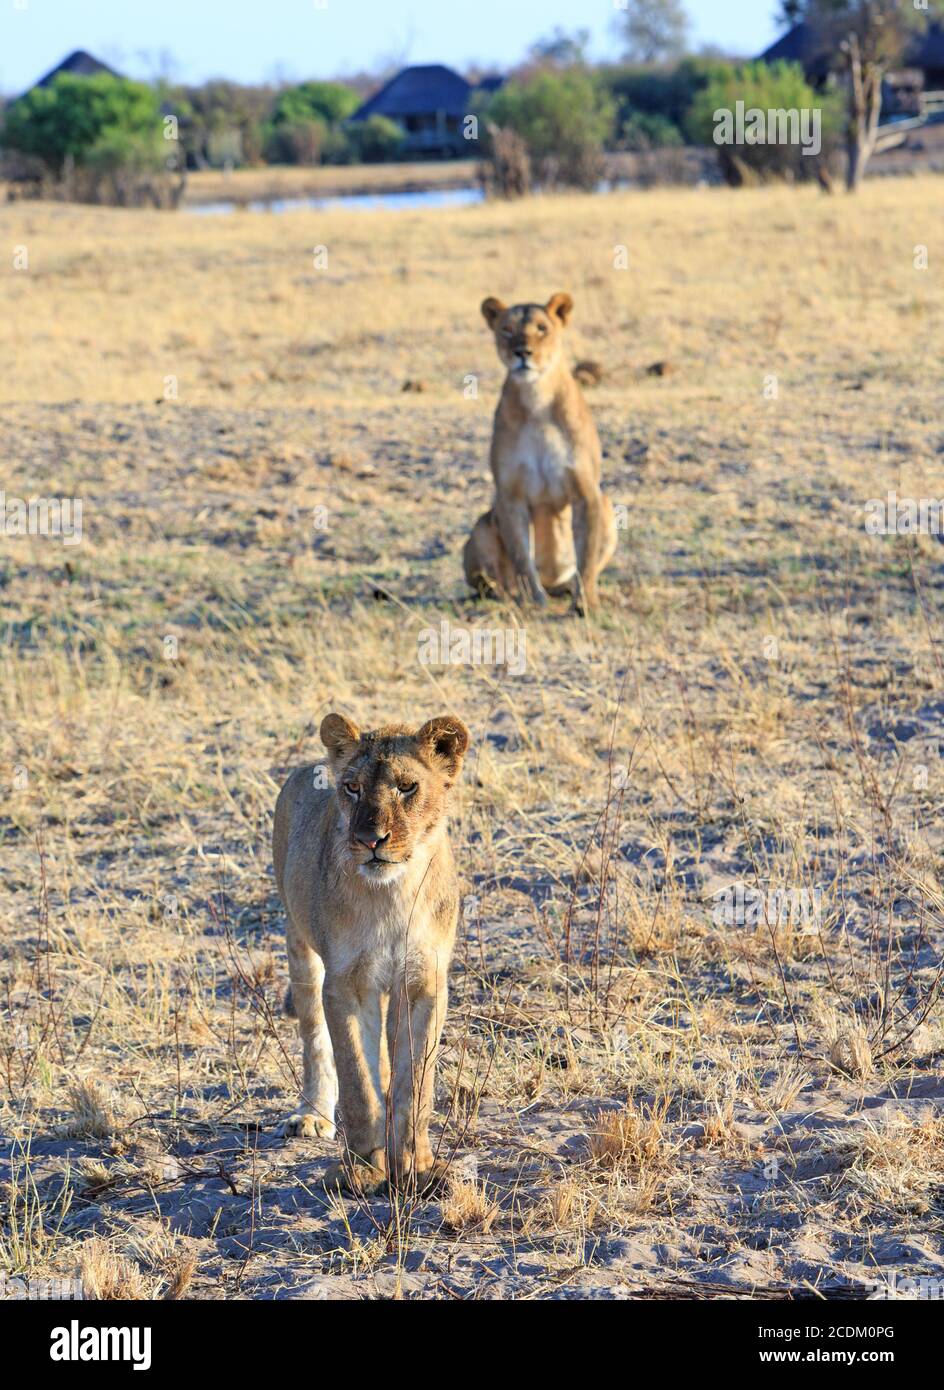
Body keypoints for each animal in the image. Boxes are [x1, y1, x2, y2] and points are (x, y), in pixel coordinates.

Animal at [273, 710, 469, 1195]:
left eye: (407, 787)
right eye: (353, 787)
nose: (370, 839)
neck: (391, 895)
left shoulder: (423, 984)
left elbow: (415, 1085)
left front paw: (416, 1166)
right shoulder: (345, 984)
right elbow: (358, 1080)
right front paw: (362, 1168)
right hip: (299, 946)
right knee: (314, 1038)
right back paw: (312, 1116)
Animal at [463, 292, 618, 613]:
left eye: (542, 328)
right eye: (507, 329)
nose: (522, 352)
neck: (536, 399)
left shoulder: (586, 492)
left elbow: (587, 559)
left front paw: (586, 603)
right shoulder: (510, 496)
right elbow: (523, 558)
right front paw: (535, 602)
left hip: (608, 506)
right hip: (482, 527)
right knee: (493, 581)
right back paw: (508, 597)